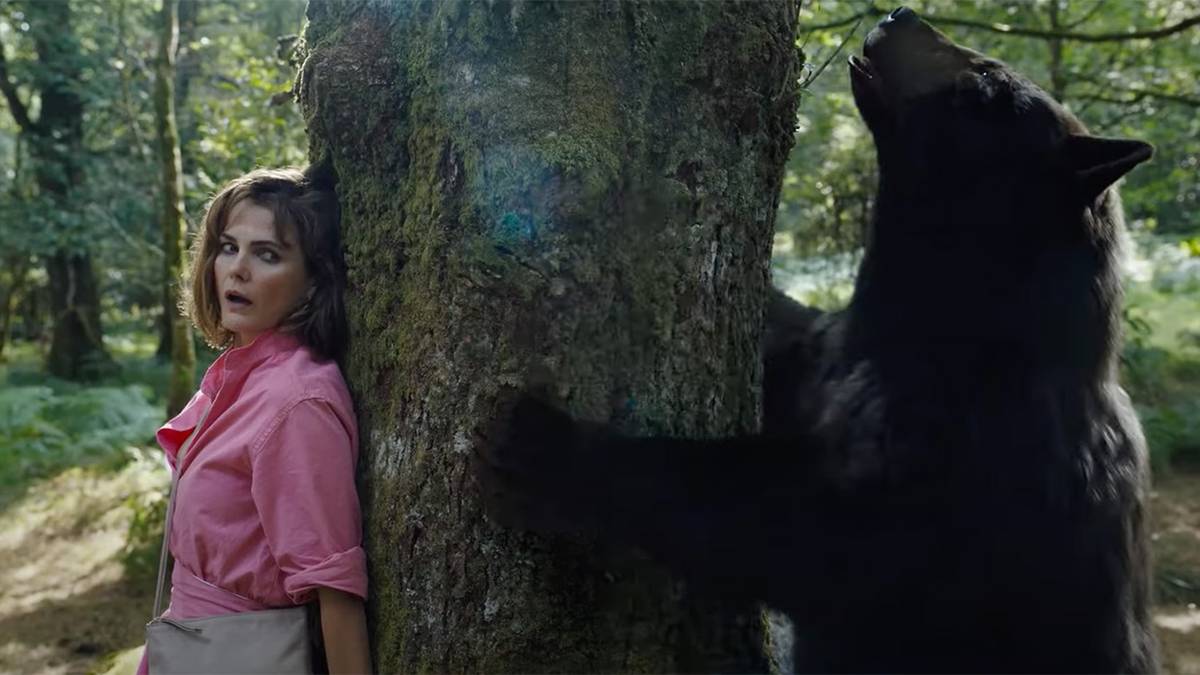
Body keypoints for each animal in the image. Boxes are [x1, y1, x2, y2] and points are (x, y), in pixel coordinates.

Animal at [474, 6, 1157, 673]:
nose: (901, 13)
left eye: (985, 87)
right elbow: (787, 348)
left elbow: (817, 541)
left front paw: (552, 444)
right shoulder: (833, 357)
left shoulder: (979, 463)